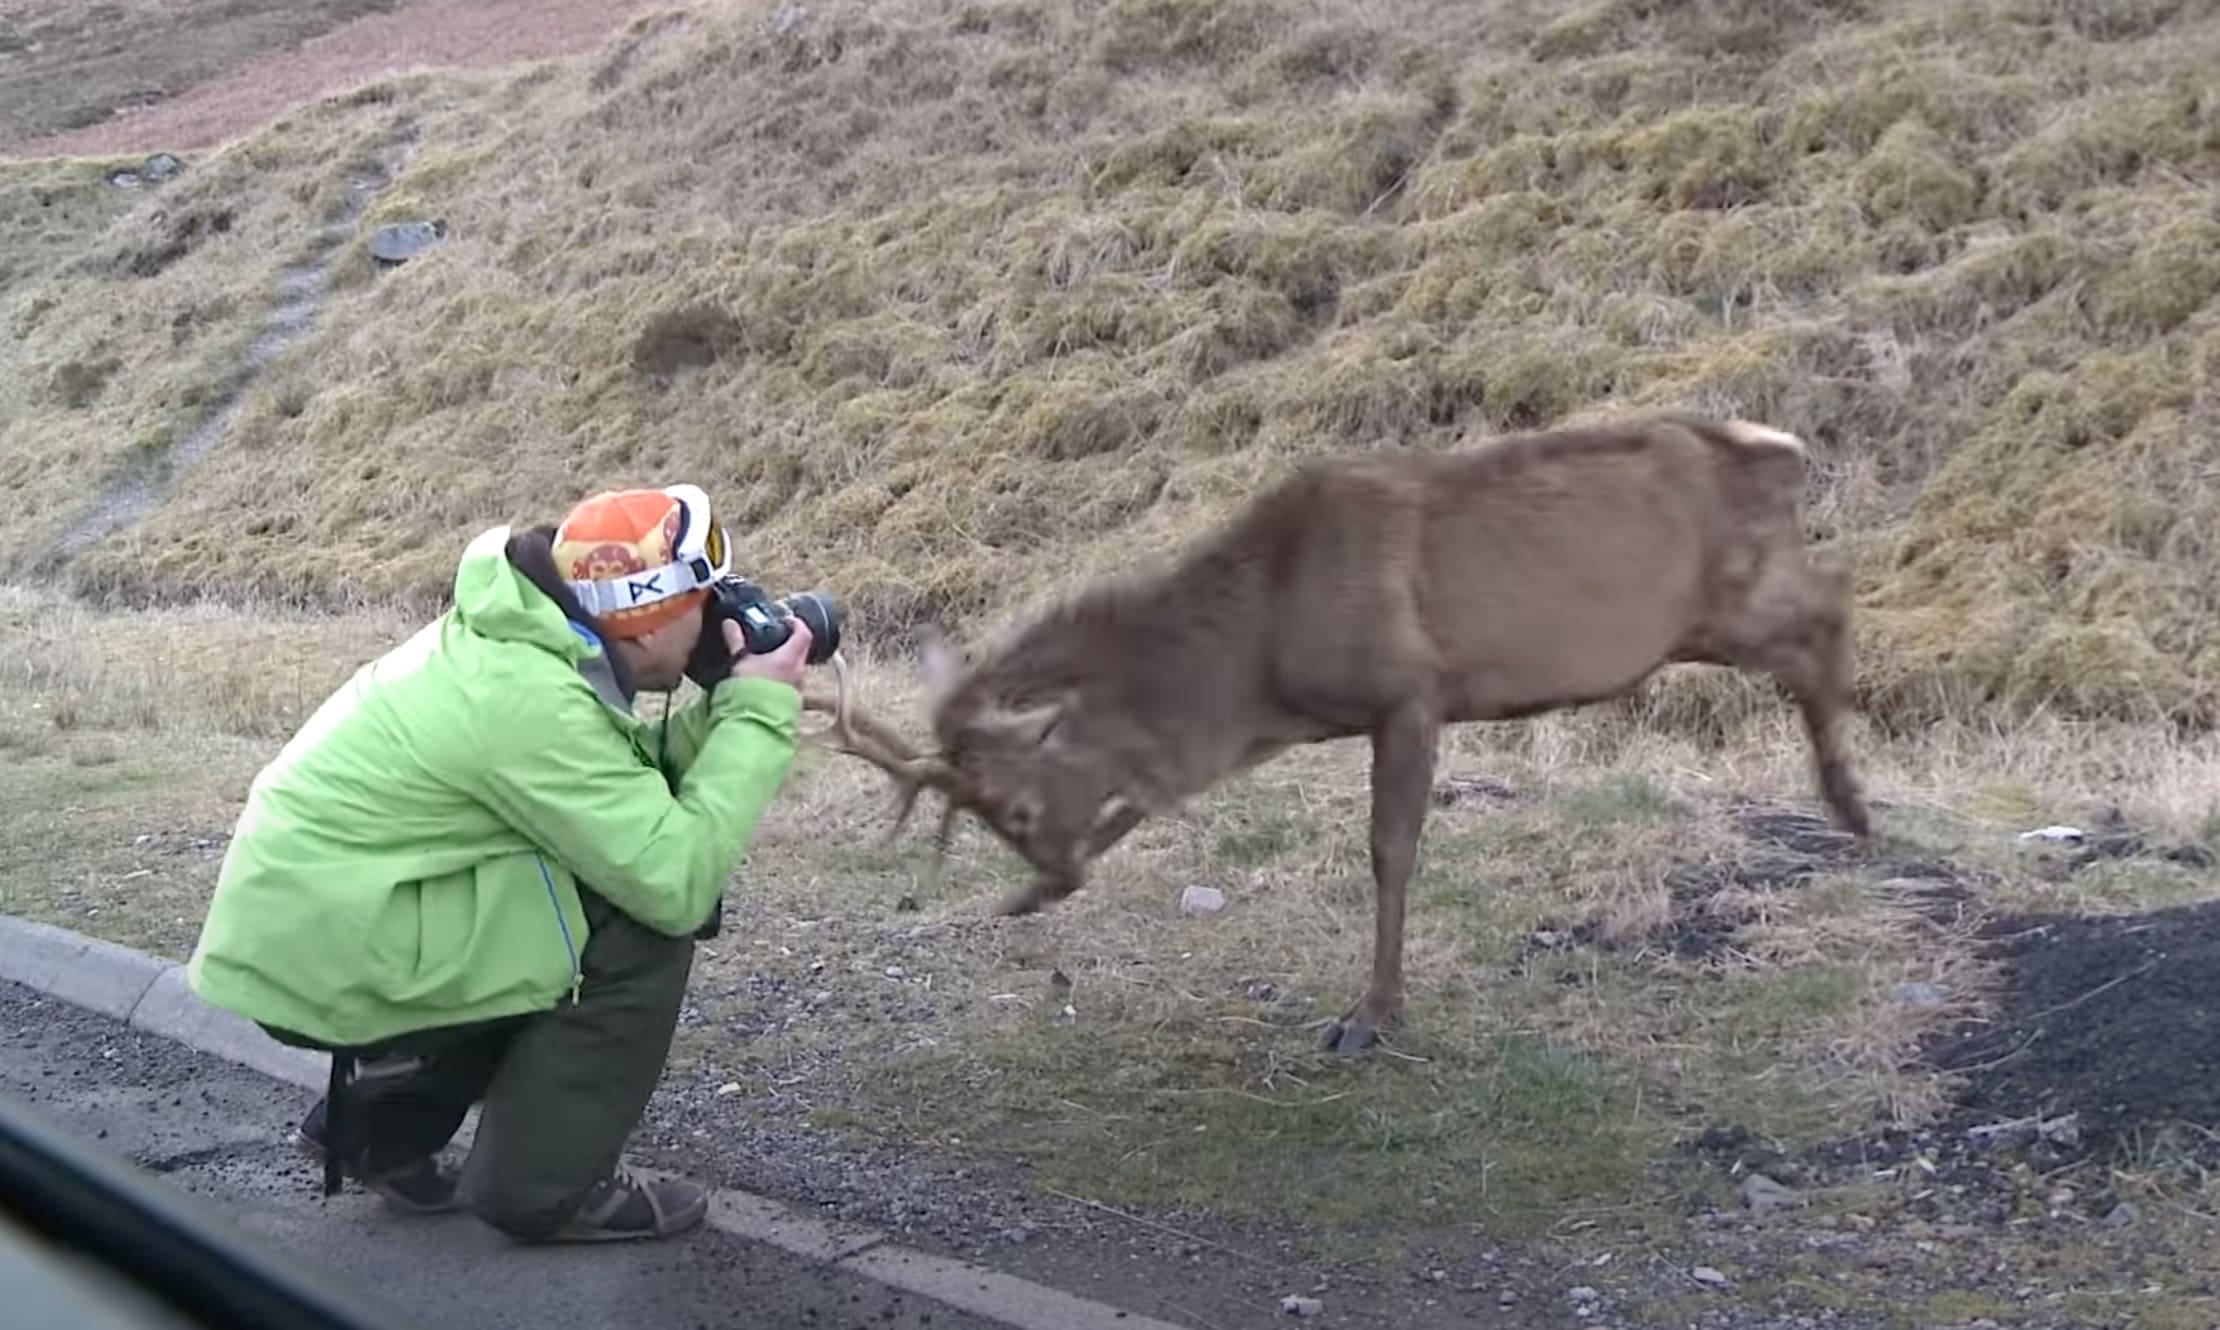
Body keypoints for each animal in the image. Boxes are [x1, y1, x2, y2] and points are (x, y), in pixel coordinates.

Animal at [804, 411, 1873, 1056]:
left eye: (1018, 807)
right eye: (991, 827)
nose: (1049, 876)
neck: (1261, 648)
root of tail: (1781, 449)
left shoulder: (1407, 691)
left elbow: (1389, 852)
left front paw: (1371, 1016)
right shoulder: (1271, 728)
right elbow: (1152, 797)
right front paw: (1027, 899)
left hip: (1721, 601)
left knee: (1829, 604)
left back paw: (1852, 805)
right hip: (1704, 621)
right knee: (1820, 617)